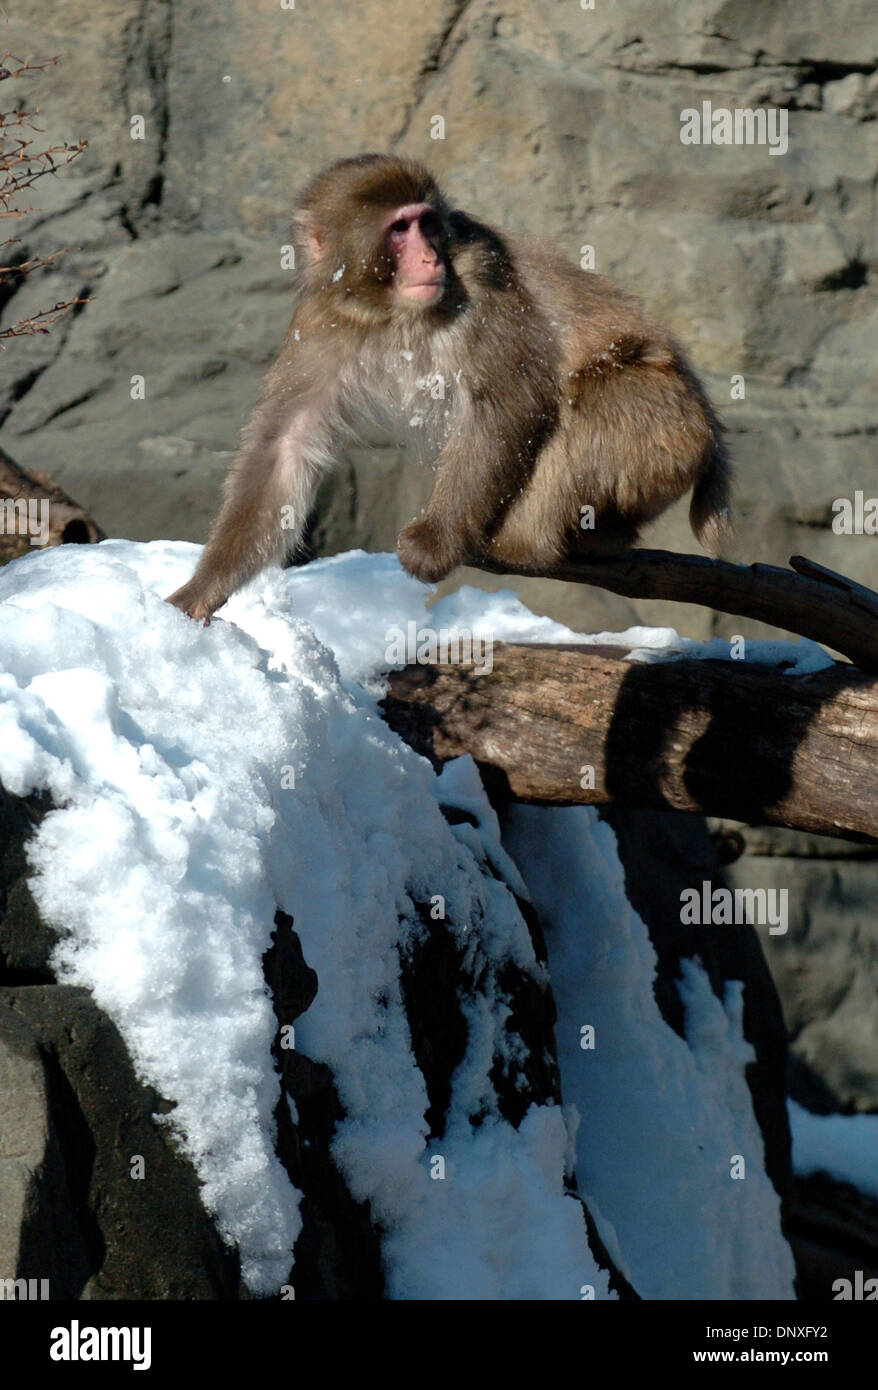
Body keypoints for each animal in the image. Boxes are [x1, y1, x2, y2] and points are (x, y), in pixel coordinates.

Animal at [167, 153, 730, 623]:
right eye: (399, 229)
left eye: (428, 224)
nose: (430, 260)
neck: (386, 312)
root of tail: (708, 425)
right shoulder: (319, 321)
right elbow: (285, 447)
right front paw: (199, 592)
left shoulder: (481, 282)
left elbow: (509, 402)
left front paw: (436, 542)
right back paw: (604, 538)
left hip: (667, 423)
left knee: (593, 401)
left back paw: (526, 546)